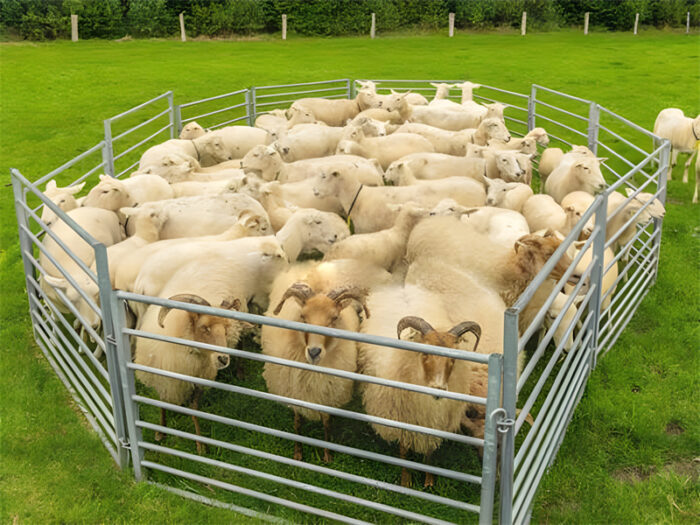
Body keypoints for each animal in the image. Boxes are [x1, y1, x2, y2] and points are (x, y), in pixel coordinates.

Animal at [261, 259, 389, 462]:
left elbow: (326, 424)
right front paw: (298, 453)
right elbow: (297, 422)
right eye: (303, 317)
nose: (314, 352)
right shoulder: (294, 392)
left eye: (334, 318)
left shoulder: (328, 394)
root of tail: (309, 265)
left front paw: (327, 455)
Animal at [358, 286, 481, 487]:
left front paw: (429, 482)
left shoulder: (432, 420)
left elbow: (430, 451)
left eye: (453, 358)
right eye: (424, 353)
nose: (438, 389)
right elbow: (403, 450)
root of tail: (401, 288)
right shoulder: (401, 417)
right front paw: (406, 482)